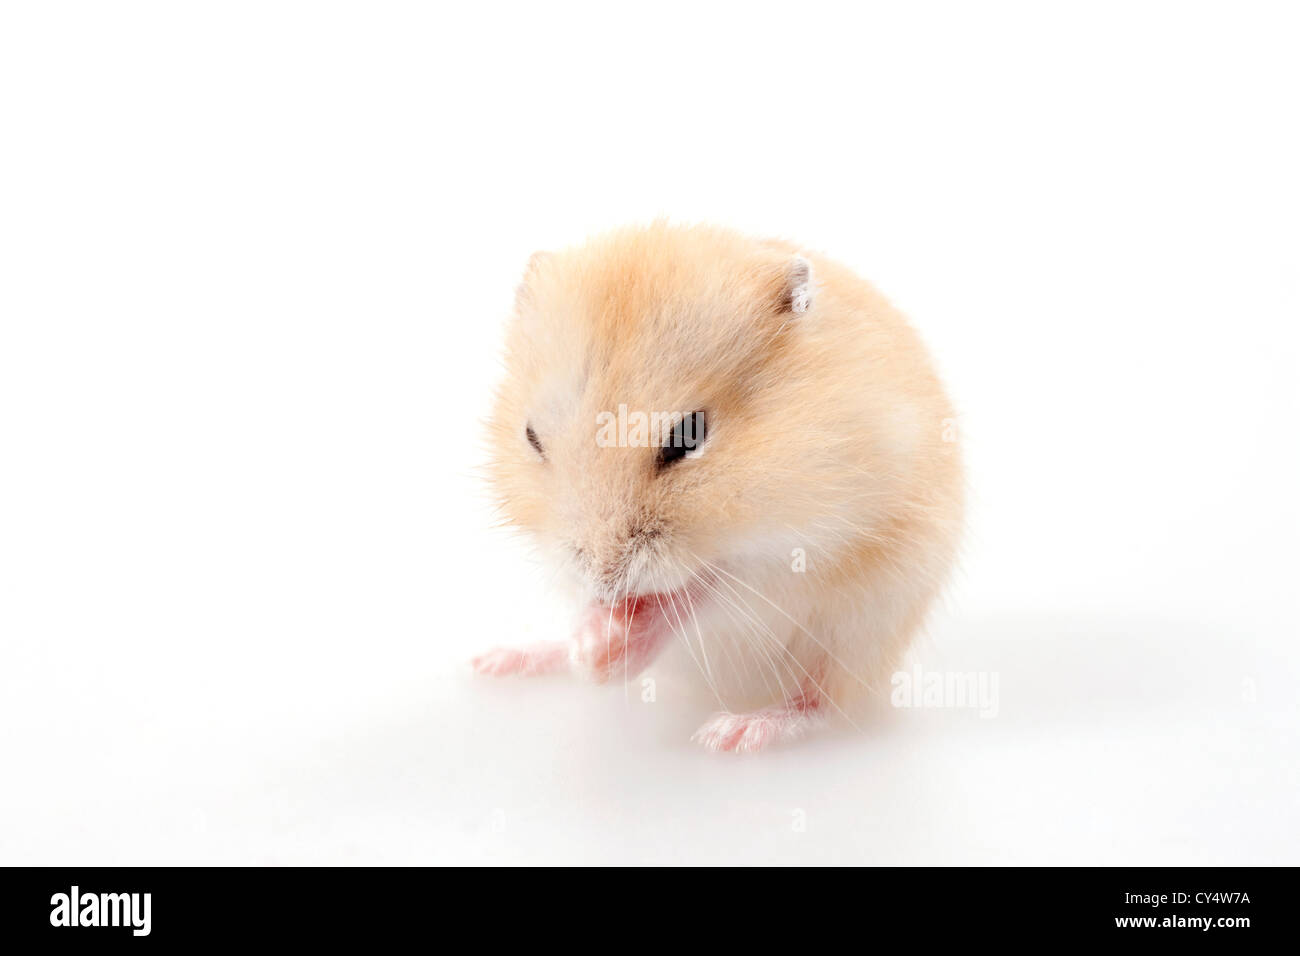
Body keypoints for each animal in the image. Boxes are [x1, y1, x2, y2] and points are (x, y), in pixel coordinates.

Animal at [474, 223, 963, 753]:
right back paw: (500, 661)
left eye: (689, 436)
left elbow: (695, 592)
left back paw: (732, 732)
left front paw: (608, 645)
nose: (604, 582)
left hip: (863, 633)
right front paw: (593, 644)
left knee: (819, 703)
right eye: (531, 437)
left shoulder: (798, 554)